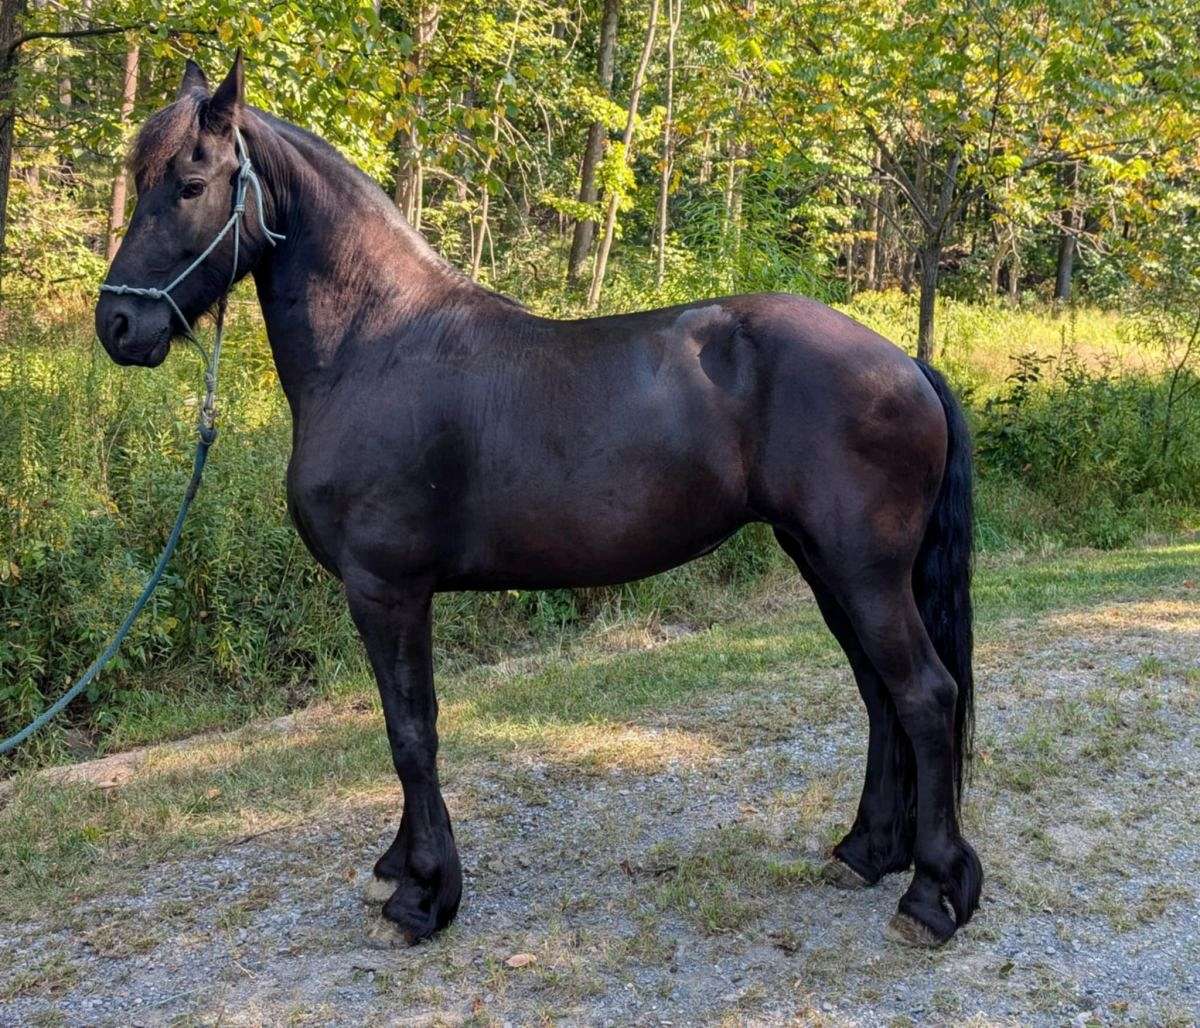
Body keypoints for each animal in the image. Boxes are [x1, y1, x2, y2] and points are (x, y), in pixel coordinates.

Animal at [95, 53, 982, 948]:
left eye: (190, 183)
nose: (120, 326)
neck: (372, 345)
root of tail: (905, 364)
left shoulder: (386, 589)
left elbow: (411, 732)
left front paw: (424, 897)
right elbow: (401, 725)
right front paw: (400, 866)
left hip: (863, 573)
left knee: (924, 696)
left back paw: (932, 895)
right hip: (827, 567)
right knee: (880, 696)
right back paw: (868, 852)